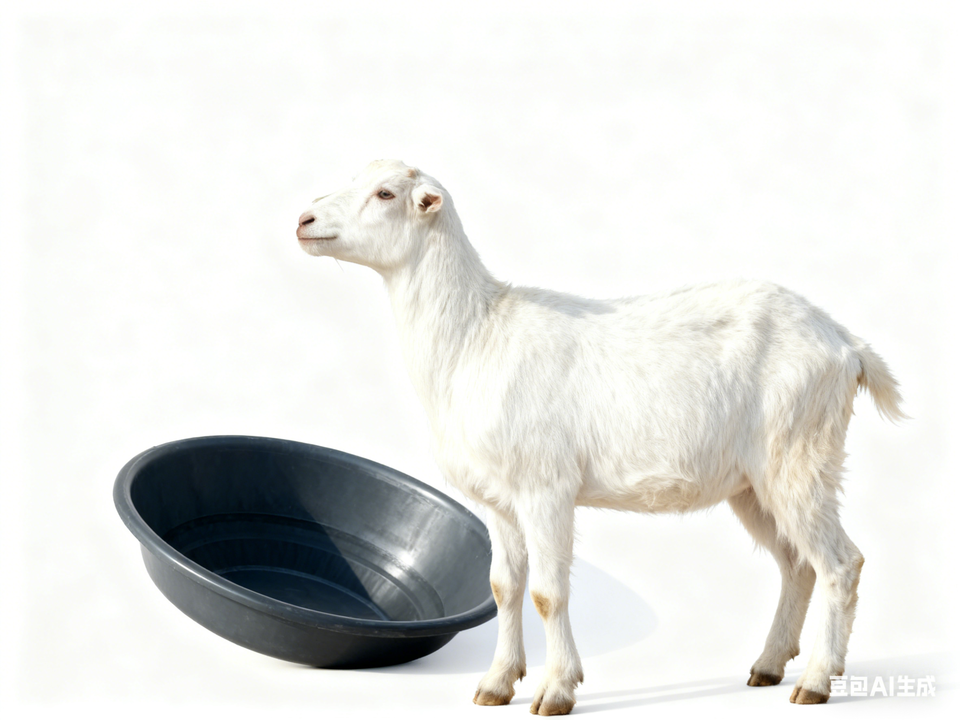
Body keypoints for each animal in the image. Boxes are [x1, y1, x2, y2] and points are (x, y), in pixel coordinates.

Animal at [297, 160, 904, 715]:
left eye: (385, 193)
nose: (304, 220)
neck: (475, 336)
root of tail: (845, 344)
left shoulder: (545, 487)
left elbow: (547, 592)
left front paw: (556, 690)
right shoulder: (498, 497)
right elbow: (504, 587)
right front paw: (497, 683)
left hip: (799, 455)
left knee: (840, 563)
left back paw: (817, 680)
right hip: (752, 482)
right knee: (797, 565)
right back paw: (769, 666)